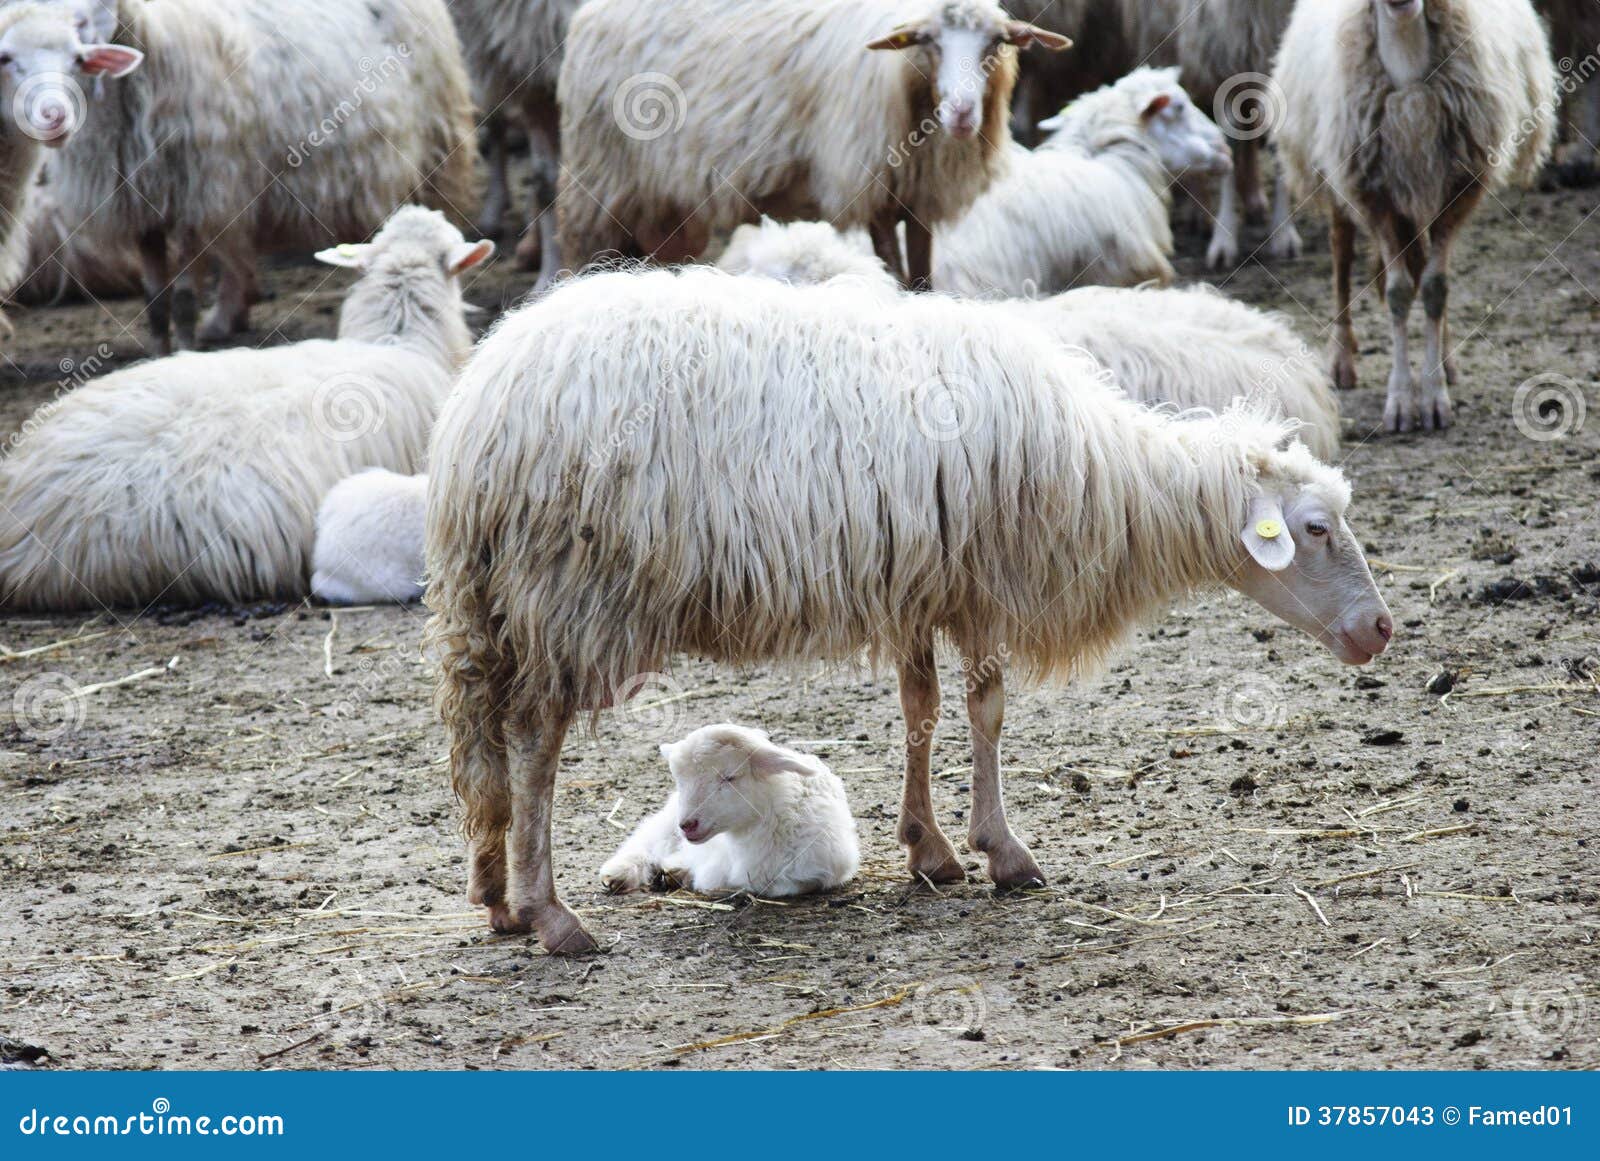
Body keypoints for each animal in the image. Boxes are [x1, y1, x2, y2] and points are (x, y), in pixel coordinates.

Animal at [5, 0, 477, 353]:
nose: (83, 33)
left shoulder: (194, 195)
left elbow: (183, 300)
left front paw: (184, 351)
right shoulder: (141, 203)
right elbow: (155, 303)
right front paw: (159, 354)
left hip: (436, 146)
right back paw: (229, 315)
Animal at [556, 0, 1070, 292]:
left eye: (997, 43)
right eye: (928, 41)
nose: (962, 113)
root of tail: (587, 13)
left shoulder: (919, 198)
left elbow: (923, 278)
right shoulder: (871, 188)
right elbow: (894, 272)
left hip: (666, 205)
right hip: (599, 179)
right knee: (582, 255)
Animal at [599, 725, 861, 898]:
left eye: (729, 777)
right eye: (680, 781)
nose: (688, 825)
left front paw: (680, 872)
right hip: (670, 818)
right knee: (648, 838)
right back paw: (618, 874)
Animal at [1274, 0, 1557, 432]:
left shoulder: (1457, 187)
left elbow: (1435, 288)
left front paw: (1434, 395)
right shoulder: (1374, 193)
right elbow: (1397, 293)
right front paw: (1401, 402)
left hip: (1420, 188)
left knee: (1421, 264)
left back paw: (1445, 357)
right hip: (1333, 168)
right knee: (1341, 254)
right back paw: (1342, 356)